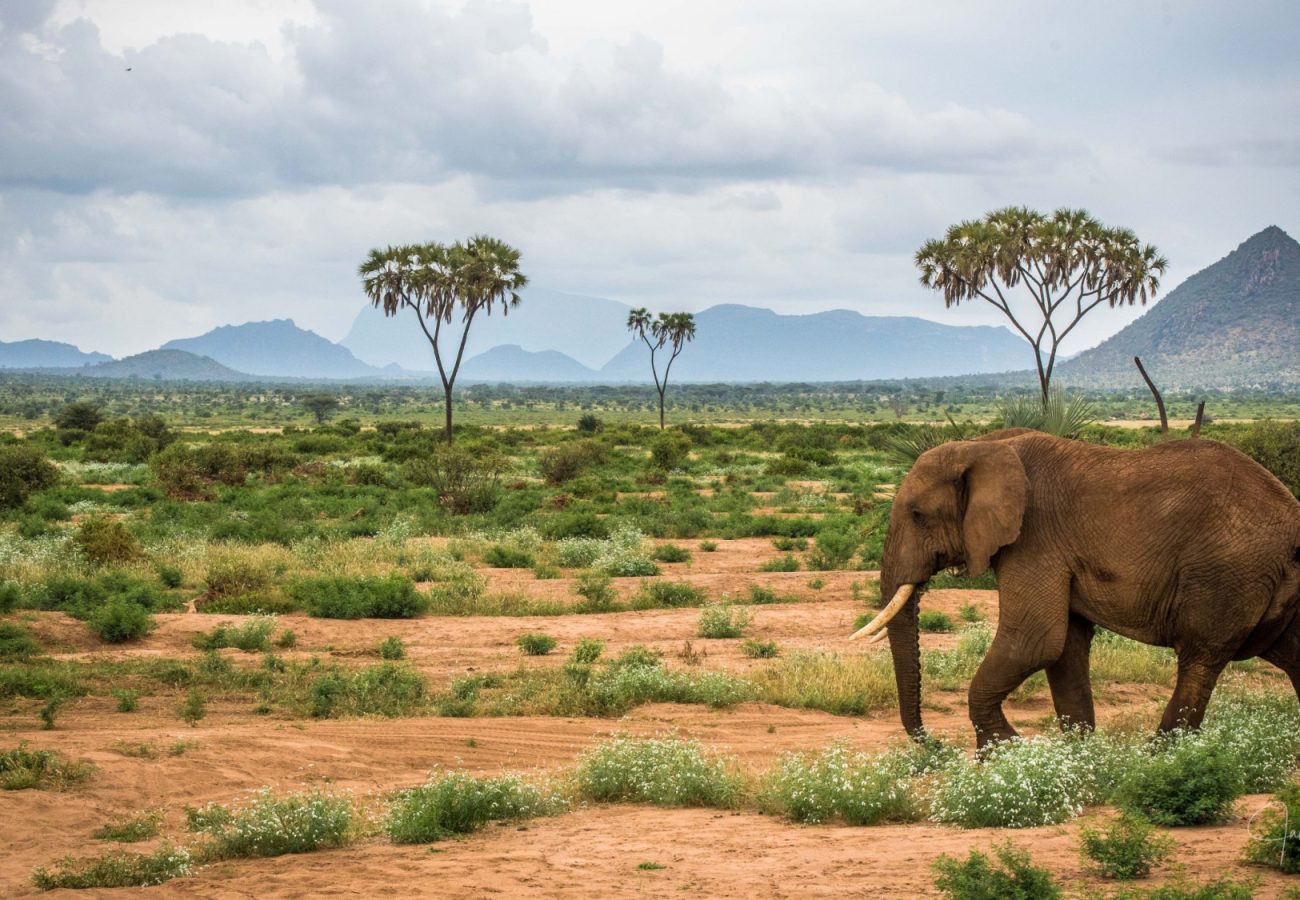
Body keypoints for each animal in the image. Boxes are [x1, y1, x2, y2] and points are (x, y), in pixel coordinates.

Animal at [851, 429, 1300, 749]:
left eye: (917, 514)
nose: (935, 744)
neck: (986, 444)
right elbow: (1065, 646)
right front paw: (1080, 755)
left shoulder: (1035, 539)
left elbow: (1034, 639)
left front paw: (1004, 752)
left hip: (1226, 572)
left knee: (1200, 657)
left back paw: (1158, 761)